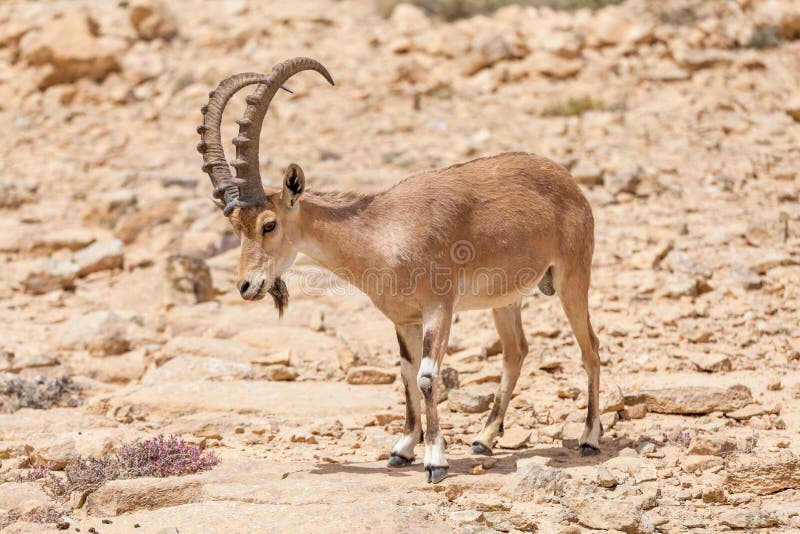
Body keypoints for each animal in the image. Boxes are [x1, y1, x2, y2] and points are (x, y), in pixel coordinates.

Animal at [197, 57, 600, 483]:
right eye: (235, 226)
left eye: (269, 224)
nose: (247, 286)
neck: (382, 234)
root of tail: (569, 182)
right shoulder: (402, 318)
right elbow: (406, 374)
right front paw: (403, 450)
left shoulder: (440, 308)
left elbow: (427, 377)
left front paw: (435, 460)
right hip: (505, 299)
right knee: (516, 351)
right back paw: (484, 439)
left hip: (573, 277)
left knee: (590, 347)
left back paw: (589, 438)